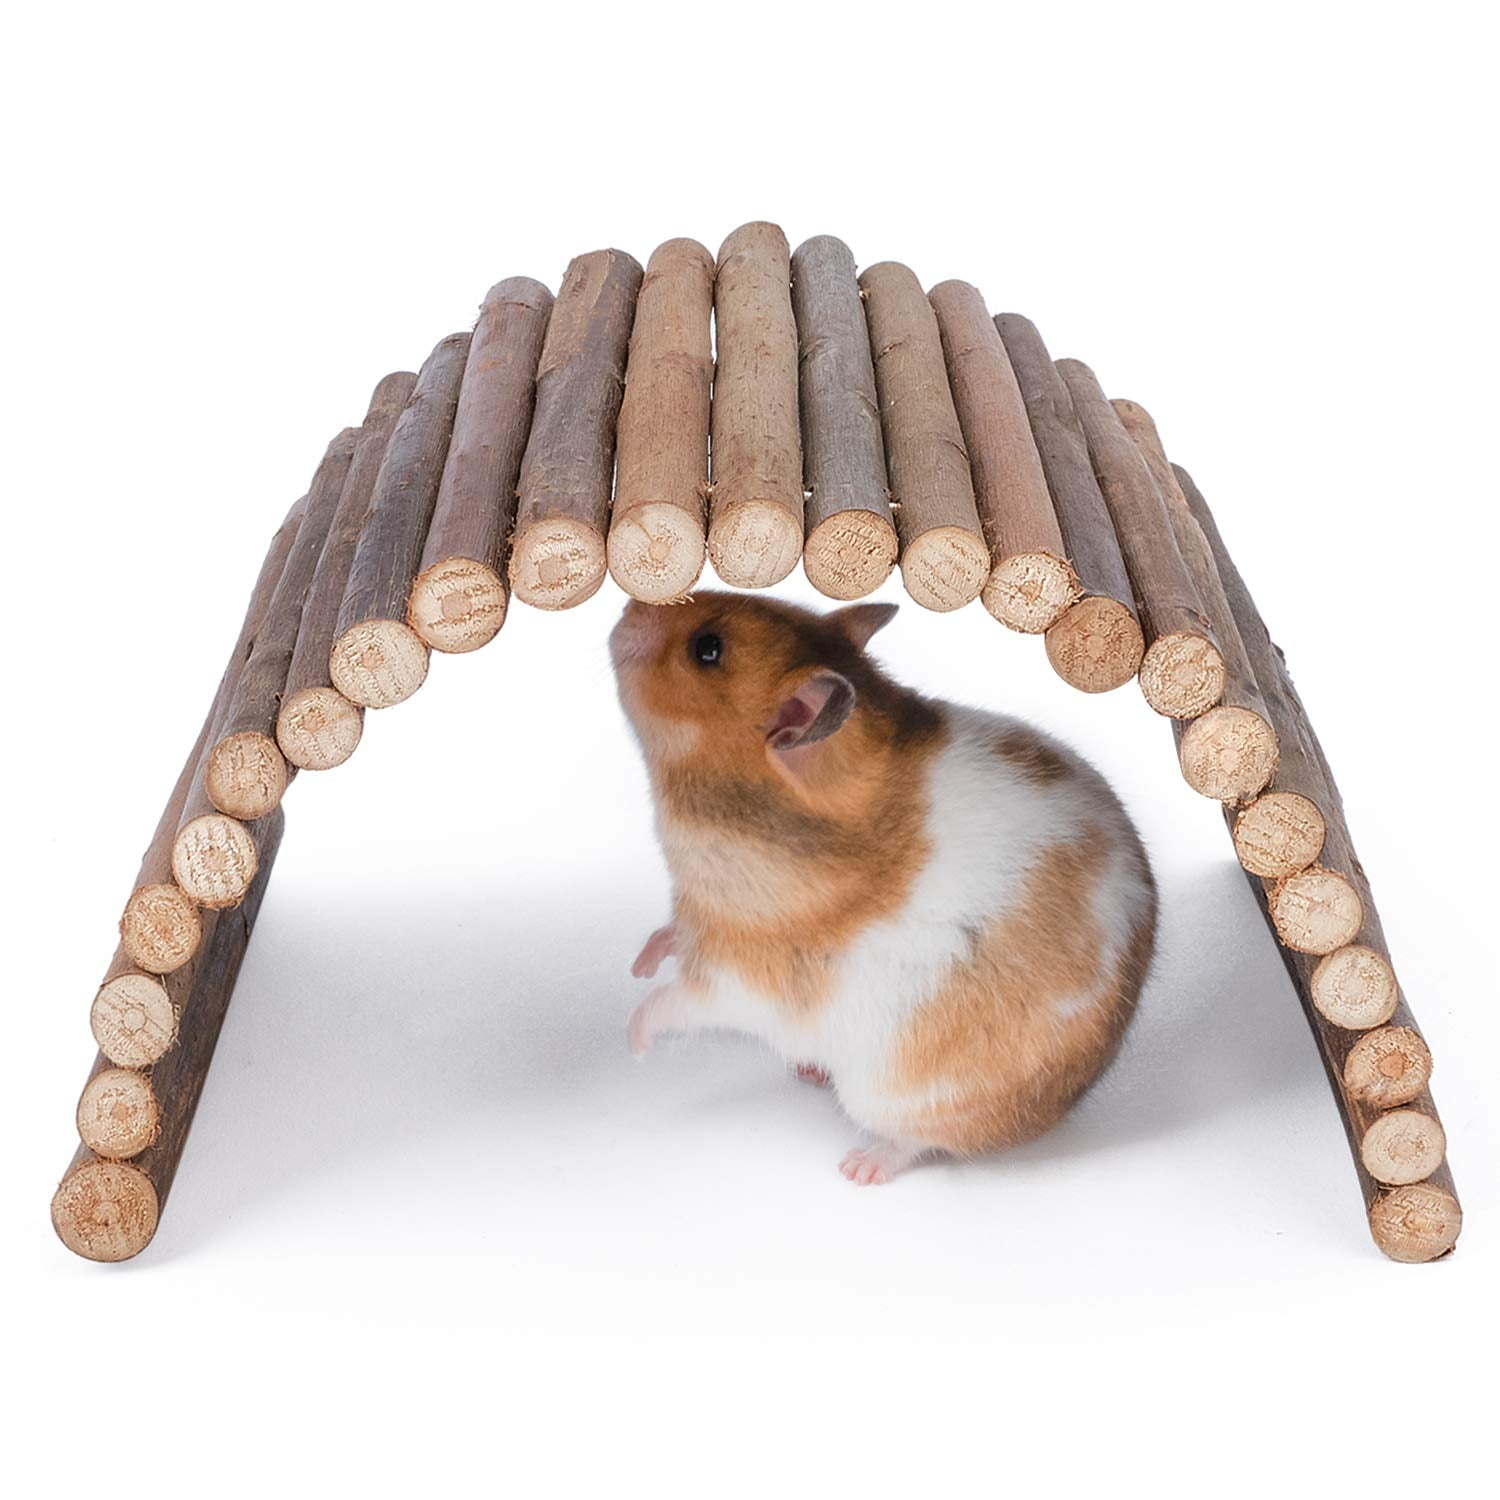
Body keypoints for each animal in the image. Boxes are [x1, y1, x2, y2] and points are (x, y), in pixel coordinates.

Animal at [609, 591, 1157, 1185]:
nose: (625, 609)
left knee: (916, 1140)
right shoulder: (694, 917)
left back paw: (859, 1167)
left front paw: (633, 1040)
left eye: (707, 649)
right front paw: (638, 965)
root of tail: (1070, 1096)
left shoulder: (738, 976)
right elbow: (669, 935)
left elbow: (676, 1002)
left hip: (905, 1094)